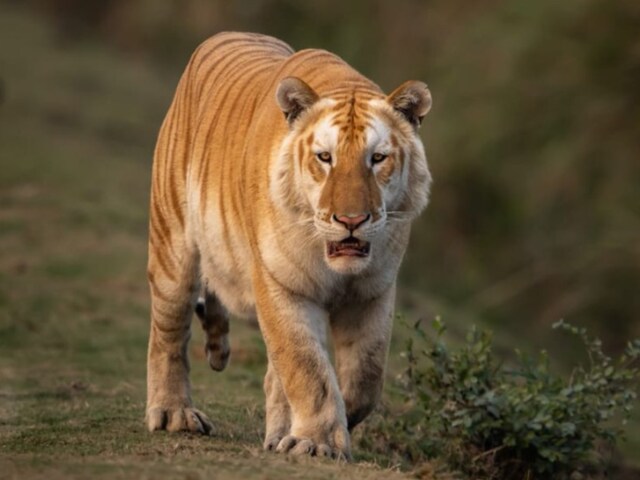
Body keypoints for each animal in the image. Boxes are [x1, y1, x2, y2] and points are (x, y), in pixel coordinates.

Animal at [146, 31, 432, 460]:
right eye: (325, 158)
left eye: (377, 158)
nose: (351, 220)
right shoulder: (281, 284)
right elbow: (307, 369)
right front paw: (316, 442)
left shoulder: (373, 292)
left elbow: (364, 378)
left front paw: (304, 434)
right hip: (173, 247)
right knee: (169, 332)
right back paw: (173, 414)